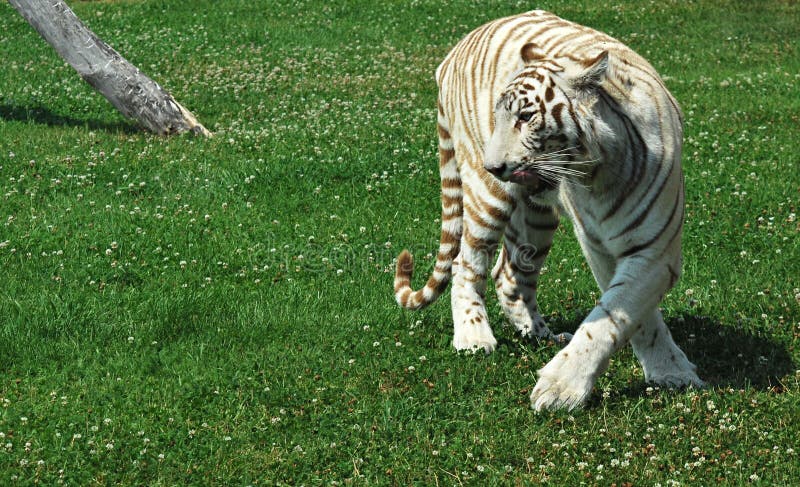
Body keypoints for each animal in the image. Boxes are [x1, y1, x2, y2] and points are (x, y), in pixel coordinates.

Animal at [393, 10, 704, 410]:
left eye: (526, 117)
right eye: (499, 115)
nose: (493, 166)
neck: (601, 173)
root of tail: (456, 49)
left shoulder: (654, 250)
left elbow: (624, 313)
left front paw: (670, 371)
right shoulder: (600, 246)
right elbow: (612, 319)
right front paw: (561, 388)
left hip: (536, 220)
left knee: (509, 274)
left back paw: (539, 333)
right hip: (487, 196)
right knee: (466, 262)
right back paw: (474, 338)